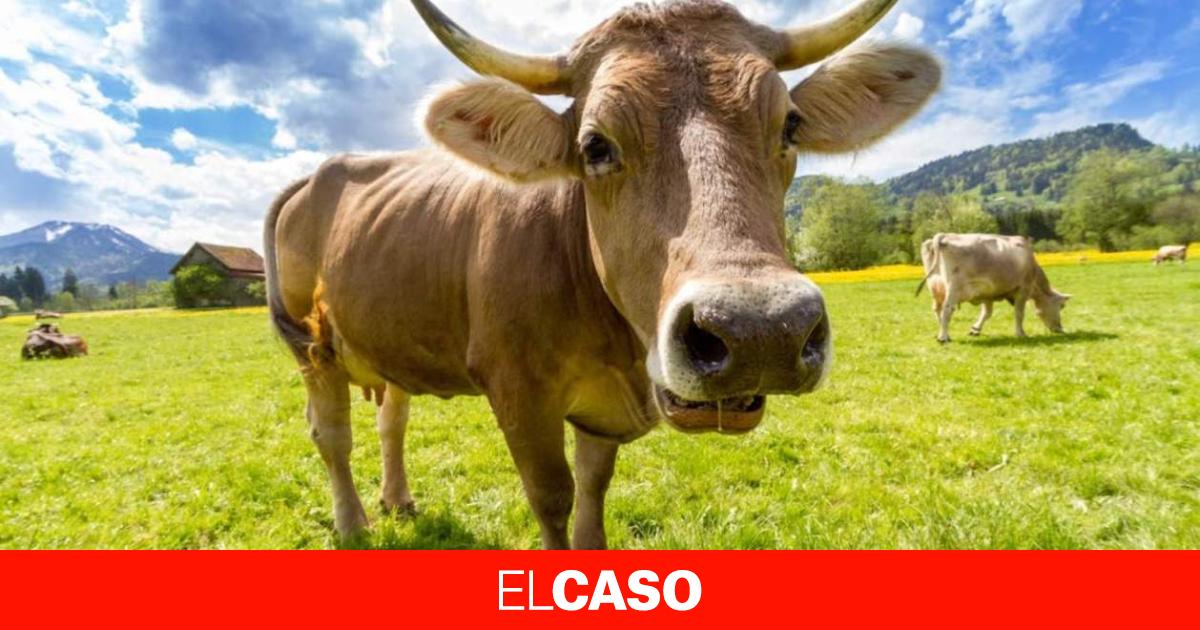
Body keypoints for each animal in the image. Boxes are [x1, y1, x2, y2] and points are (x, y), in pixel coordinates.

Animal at [265, 0, 941, 548]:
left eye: (790, 125)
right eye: (595, 145)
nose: (760, 332)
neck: (617, 348)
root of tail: (321, 171)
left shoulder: (600, 412)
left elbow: (592, 489)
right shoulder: (518, 392)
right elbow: (552, 497)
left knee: (392, 418)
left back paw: (398, 499)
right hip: (313, 348)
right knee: (332, 435)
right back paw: (354, 525)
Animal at [917, 233, 1070, 344]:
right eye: (1061, 306)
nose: (1060, 329)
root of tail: (945, 236)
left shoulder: (987, 294)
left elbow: (987, 313)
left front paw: (975, 329)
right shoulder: (1022, 290)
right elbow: (1019, 313)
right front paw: (1021, 333)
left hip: (936, 287)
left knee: (938, 310)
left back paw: (945, 334)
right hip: (954, 289)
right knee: (947, 310)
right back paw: (943, 337)